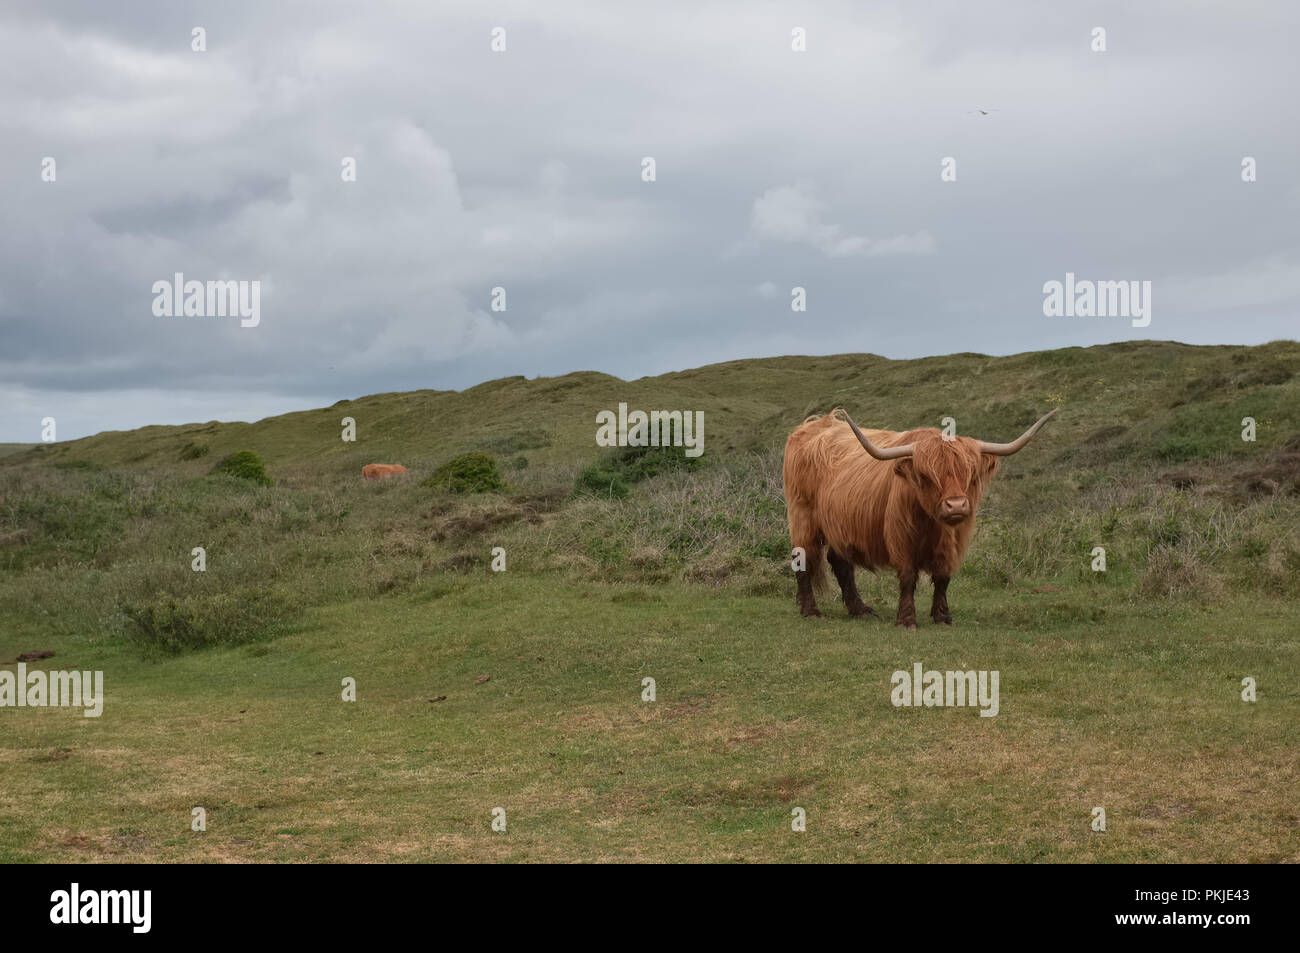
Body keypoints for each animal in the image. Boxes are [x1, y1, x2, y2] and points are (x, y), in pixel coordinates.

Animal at [782, 408, 1056, 627]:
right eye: (927, 476)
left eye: (969, 472)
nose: (956, 505)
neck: (933, 525)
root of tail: (814, 425)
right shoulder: (900, 538)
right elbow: (907, 577)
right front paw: (906, 620)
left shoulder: (954, 541)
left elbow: (943, 578)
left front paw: (942, 617)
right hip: (802, 517)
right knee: (803, 558)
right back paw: (811, 611)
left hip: (842, 525)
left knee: (840, 562)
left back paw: (860, 610)